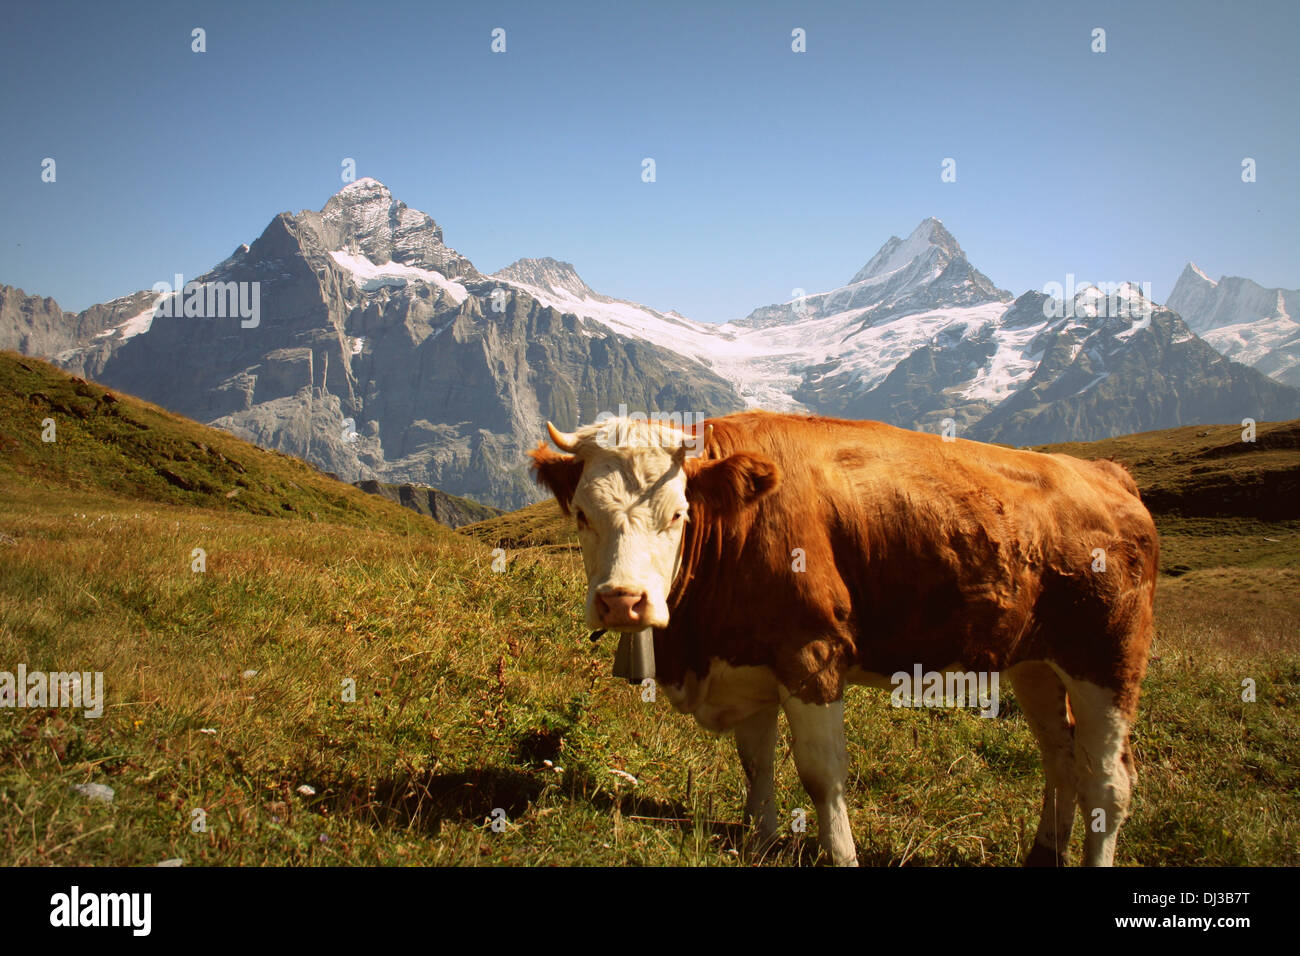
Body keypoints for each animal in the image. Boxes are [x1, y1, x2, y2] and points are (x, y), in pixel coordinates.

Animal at [530, 410, 1159, 866]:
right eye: (582, 514)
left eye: (678, 513)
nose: (622, 600)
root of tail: (1105, 474)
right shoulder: (748, 665)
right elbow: (756, 763)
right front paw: (762, 845)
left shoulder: (812, 654)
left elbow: (821, 773)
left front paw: (840, 853)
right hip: (1036, 662)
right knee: (1061, 757)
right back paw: (1044, 852)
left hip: (1109, 659)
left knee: (1109, 781)